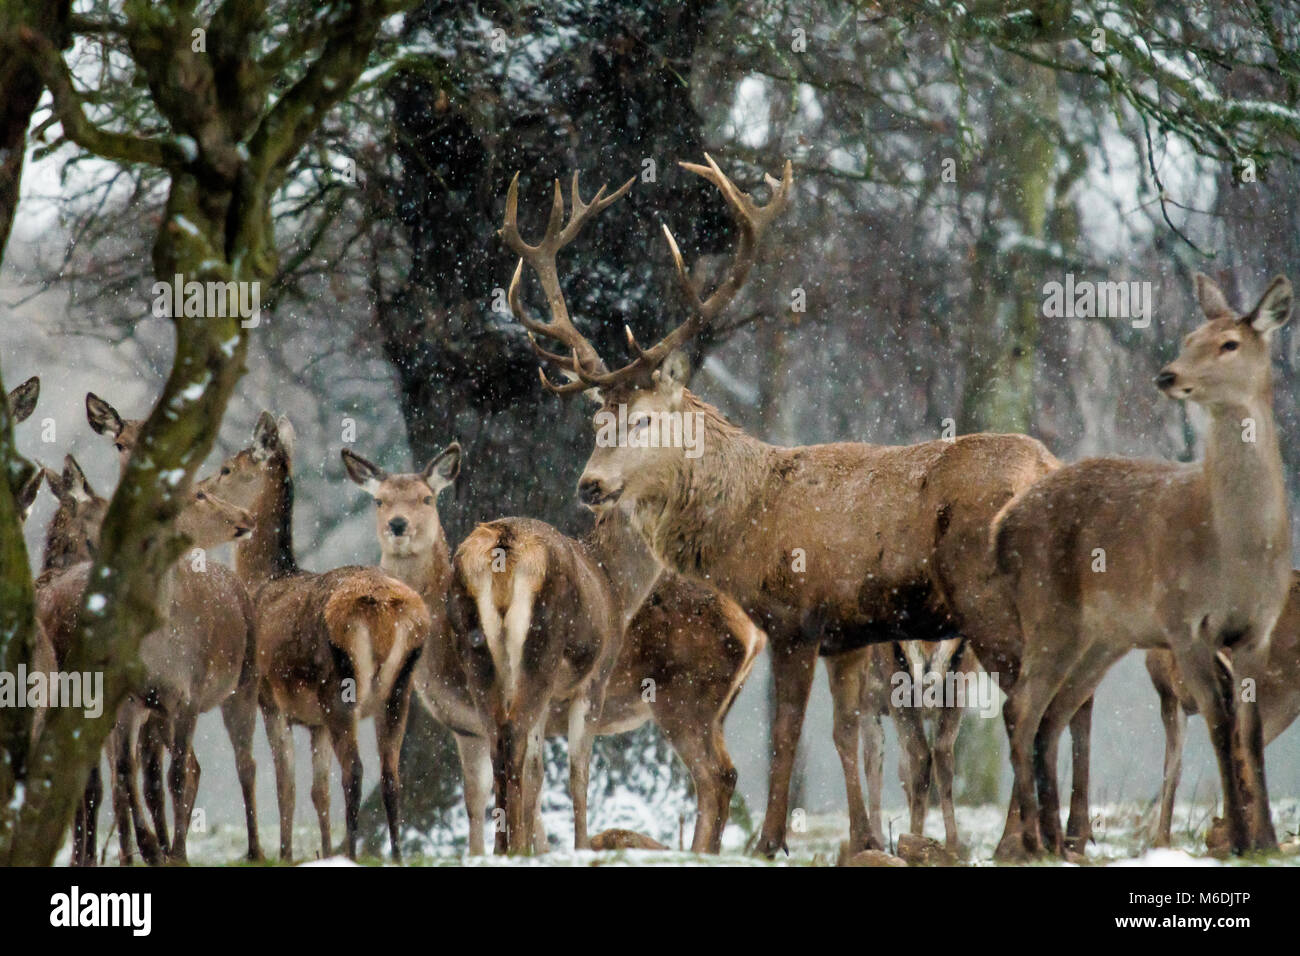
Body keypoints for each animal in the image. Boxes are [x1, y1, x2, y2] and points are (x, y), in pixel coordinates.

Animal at [198, 412, 431, 862]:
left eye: (228, 468)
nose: (199, 489)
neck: (264, 581)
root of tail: (386, 608)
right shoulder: (315, 721)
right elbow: (317, 791)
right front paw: (320, 850)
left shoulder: (269, 698)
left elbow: (286, 784)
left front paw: (286, 854)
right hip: (401, 688)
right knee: (391, 773)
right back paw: (393, 854)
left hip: (340, 685)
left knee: (355, 769)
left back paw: (353, 853)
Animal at [343, 447, 765, 853]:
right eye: (379, 501)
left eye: (427, 498)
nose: (398, 525)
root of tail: (753, 630)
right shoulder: (478, 723)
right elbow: (502, 791)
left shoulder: (482, 719)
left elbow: (520, 786)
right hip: (694, 700)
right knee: (718, 776)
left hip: (684, 697)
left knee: (716, 775)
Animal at [497, 155, 1068, 858]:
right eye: (597, 419)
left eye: (647, 419)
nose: (589, 485)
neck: (752, 518)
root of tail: (1053, 472)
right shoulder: (850, 635)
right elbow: (846, 735)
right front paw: (863, 840)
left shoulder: (798, 617)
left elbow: (786, 735)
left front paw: (768, 842)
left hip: (988, 598)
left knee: (1029, 698)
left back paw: (1019, 840)